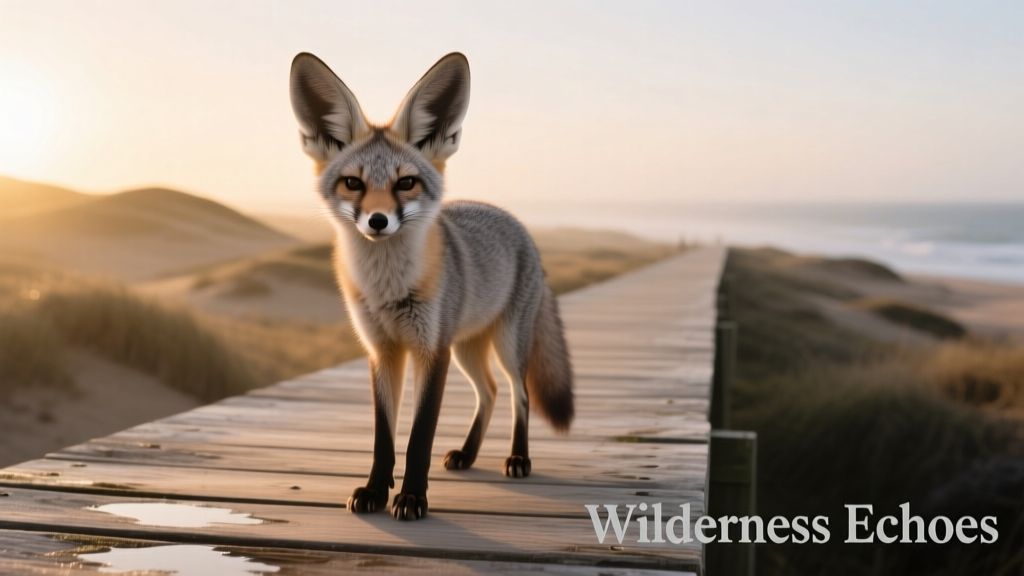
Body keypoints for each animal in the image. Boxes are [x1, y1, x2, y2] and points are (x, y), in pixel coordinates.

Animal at [288, 52, 574, 521]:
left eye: (406, 183)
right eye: (353, 183)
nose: (378, 221)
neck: (388, 289)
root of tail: (515, 221)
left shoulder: (430, 350)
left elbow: (418, 437)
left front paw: (411, 498)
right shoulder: (382, 351)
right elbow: (384, 438)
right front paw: (374, 490)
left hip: (505, 344)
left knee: (519, 394)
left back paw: (518, 457)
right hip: (467, 348)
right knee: (490, 392)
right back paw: (468, 454)